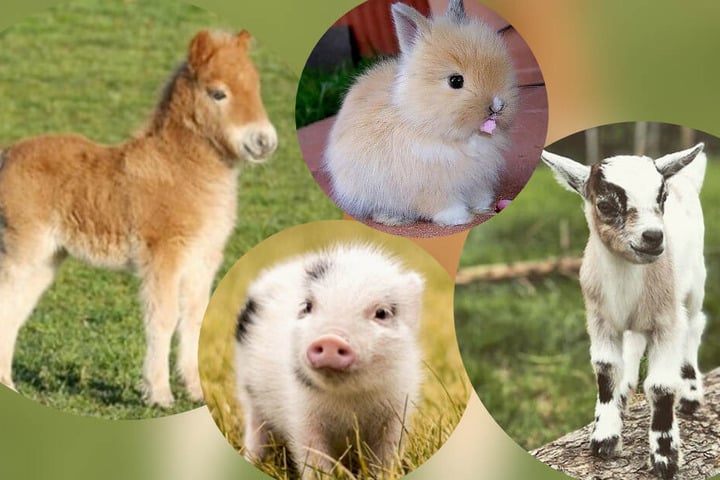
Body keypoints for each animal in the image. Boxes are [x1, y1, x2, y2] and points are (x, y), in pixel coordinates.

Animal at [234, 243, 424, 479]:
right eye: (307, 306)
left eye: (381, 313)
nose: (331, 339)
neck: (349, 401)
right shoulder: (300, 411)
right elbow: (313, 454)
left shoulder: (397, 407)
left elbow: (387, 452)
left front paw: (383, 474)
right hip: (248, 388)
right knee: (255, 425)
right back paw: (253, 460)